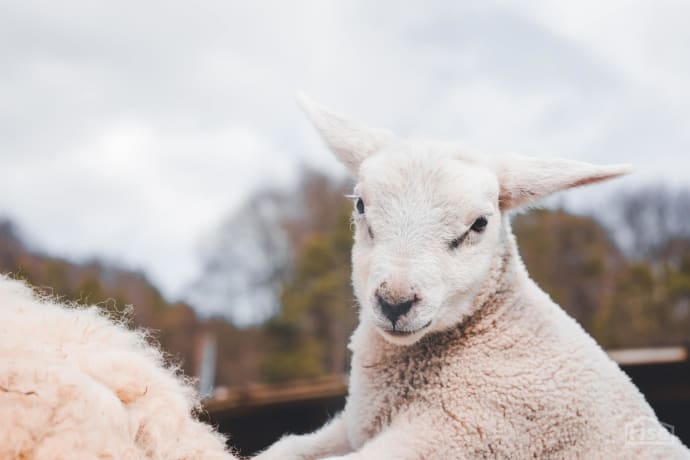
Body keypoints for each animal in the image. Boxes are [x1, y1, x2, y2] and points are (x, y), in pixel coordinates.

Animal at [255, 96, 690, 459]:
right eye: (361, 204)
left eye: (479, 223)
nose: (395, 302)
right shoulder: (351, 427)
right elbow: (285, 448)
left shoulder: (465, 432)